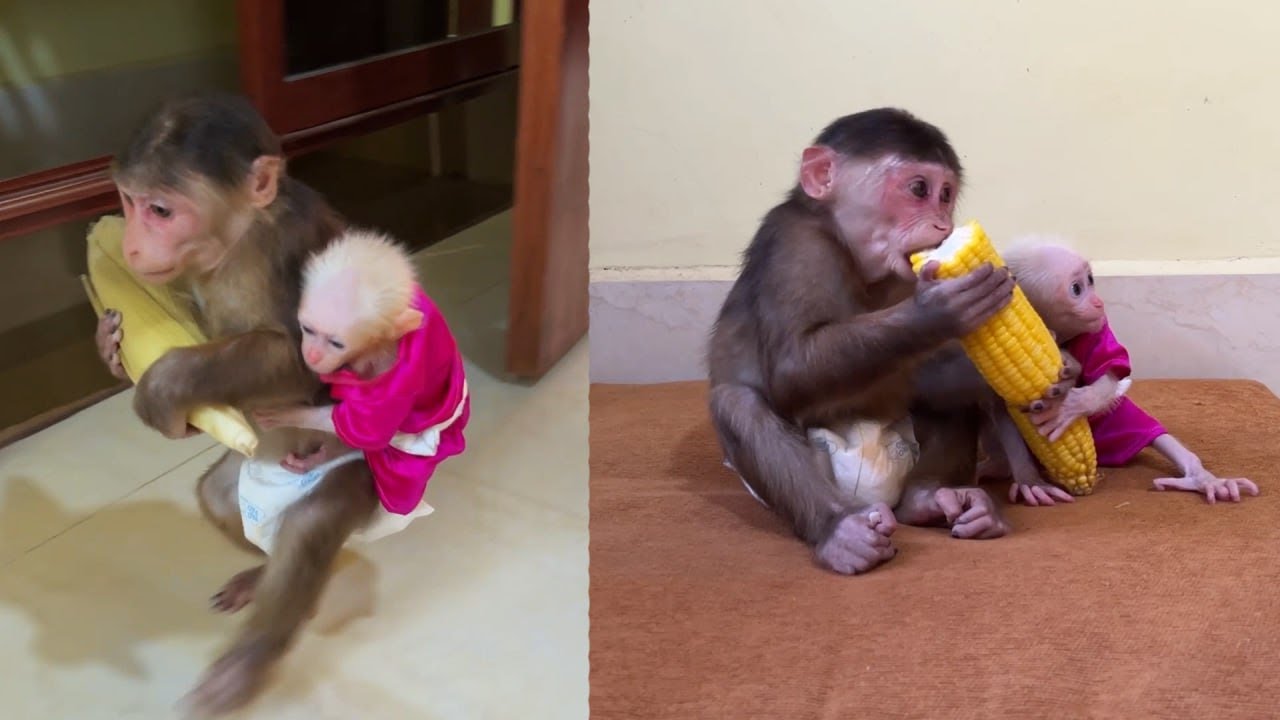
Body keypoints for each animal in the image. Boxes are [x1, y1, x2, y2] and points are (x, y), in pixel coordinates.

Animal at [94, 93, 381, 715]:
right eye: (128, 202)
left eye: (160, 210)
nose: (129, 244)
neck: (238, 241)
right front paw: (110, 347)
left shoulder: (286, 247)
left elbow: (308, 359)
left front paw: (167, 382)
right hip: (255, 471)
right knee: (217, 495)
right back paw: (260, 575)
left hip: (361, 472)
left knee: (314, 523)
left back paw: (245, 665)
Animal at [252, 227, 471, 516]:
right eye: (308, 329)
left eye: (336, 343)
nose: (313, 355)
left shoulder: (394, 380)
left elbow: (361, 428)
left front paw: (289, 414)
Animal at [706, 108, 1079, 576]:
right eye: (919, 190)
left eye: (945, 195)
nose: (944, 225)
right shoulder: (793, 243)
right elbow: (791, 369)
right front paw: (937, 310)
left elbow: (937, 370)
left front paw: (1061, 369)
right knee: (738, 403)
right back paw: (841, 530)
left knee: (942, 397)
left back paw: (932, 499)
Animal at [997, 237, 1260, 504]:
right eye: (1076, 289)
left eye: (1090, 280)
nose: (1098, 302)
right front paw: (1028, 479)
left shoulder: (1098, 329)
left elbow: (1111, 370)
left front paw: (1073, 402)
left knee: (1146, 430)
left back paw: (1203, 478)